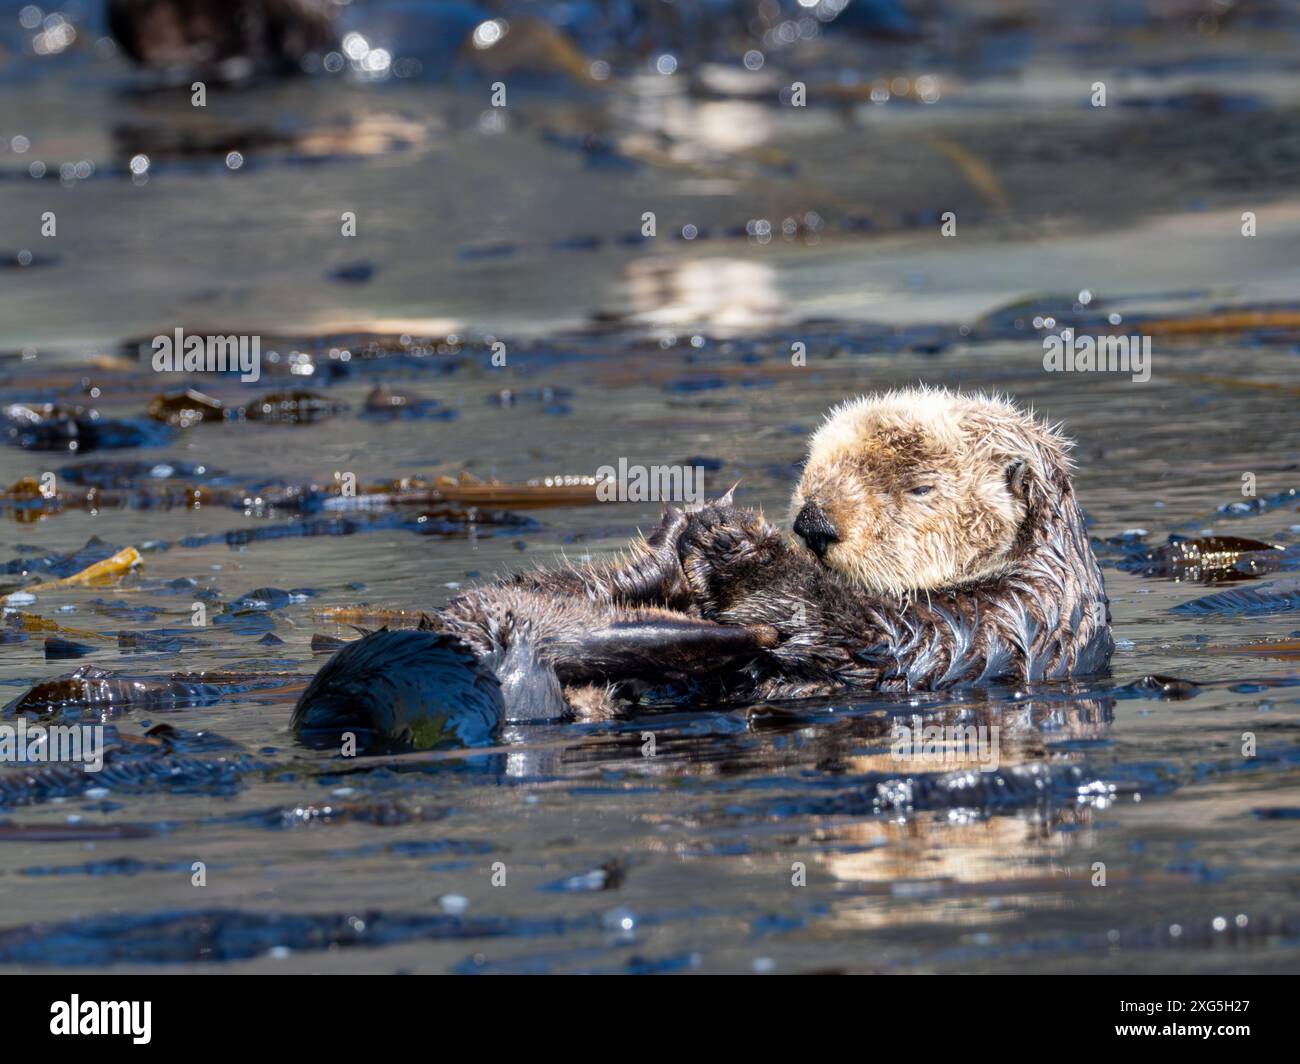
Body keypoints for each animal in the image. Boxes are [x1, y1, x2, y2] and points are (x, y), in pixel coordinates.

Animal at [293, 388, 1112, 748]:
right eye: (816, 466)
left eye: (919, 488)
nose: (813, 523)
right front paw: (698, 531)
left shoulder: (1006, 617)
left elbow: (884, 638)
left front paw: (744, 554)